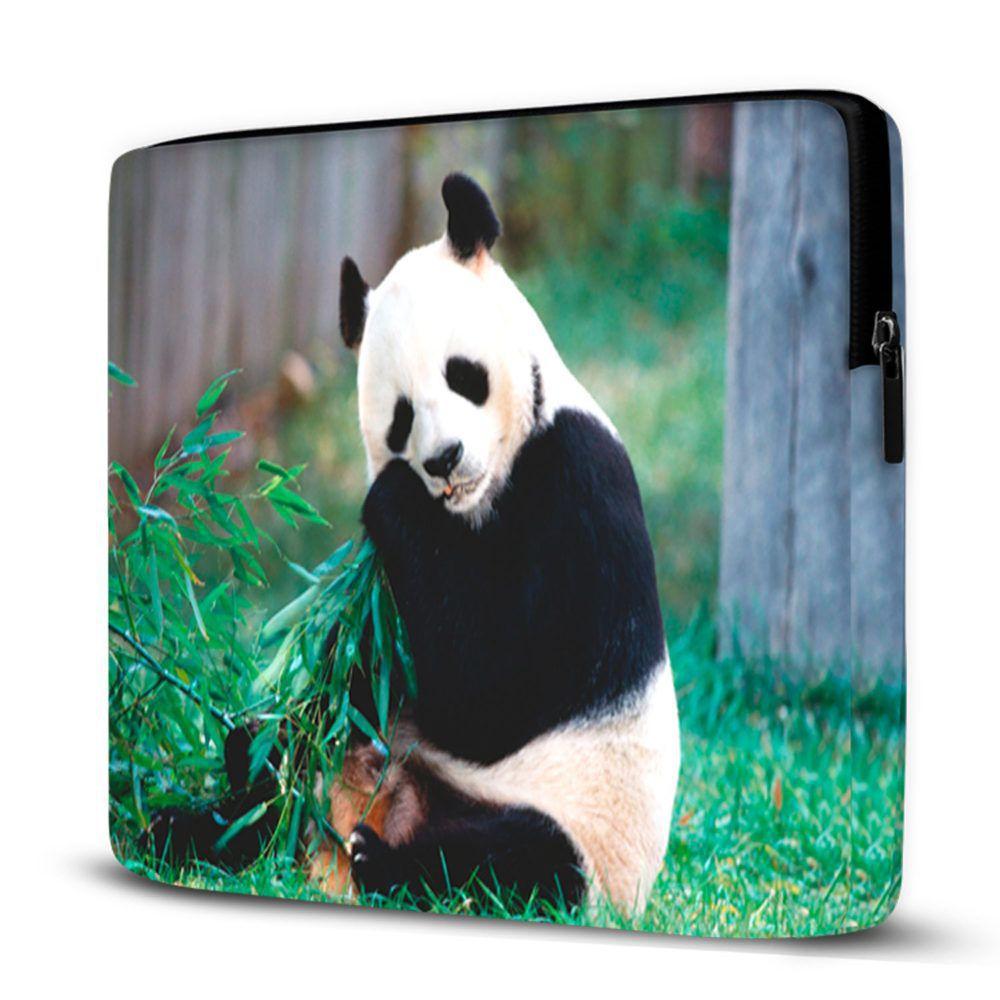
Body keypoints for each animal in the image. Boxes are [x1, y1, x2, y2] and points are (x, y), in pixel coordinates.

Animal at [312, 173, 681, 915]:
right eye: (400, 418)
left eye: (464, 375)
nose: (444, 459)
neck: (479, 503)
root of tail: (391, 805)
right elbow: (371, 658)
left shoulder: (577, 482)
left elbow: (494, 693)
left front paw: (392, 498)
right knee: (273, 755)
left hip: (582, 834)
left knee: (518, 859)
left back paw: (380, 861)